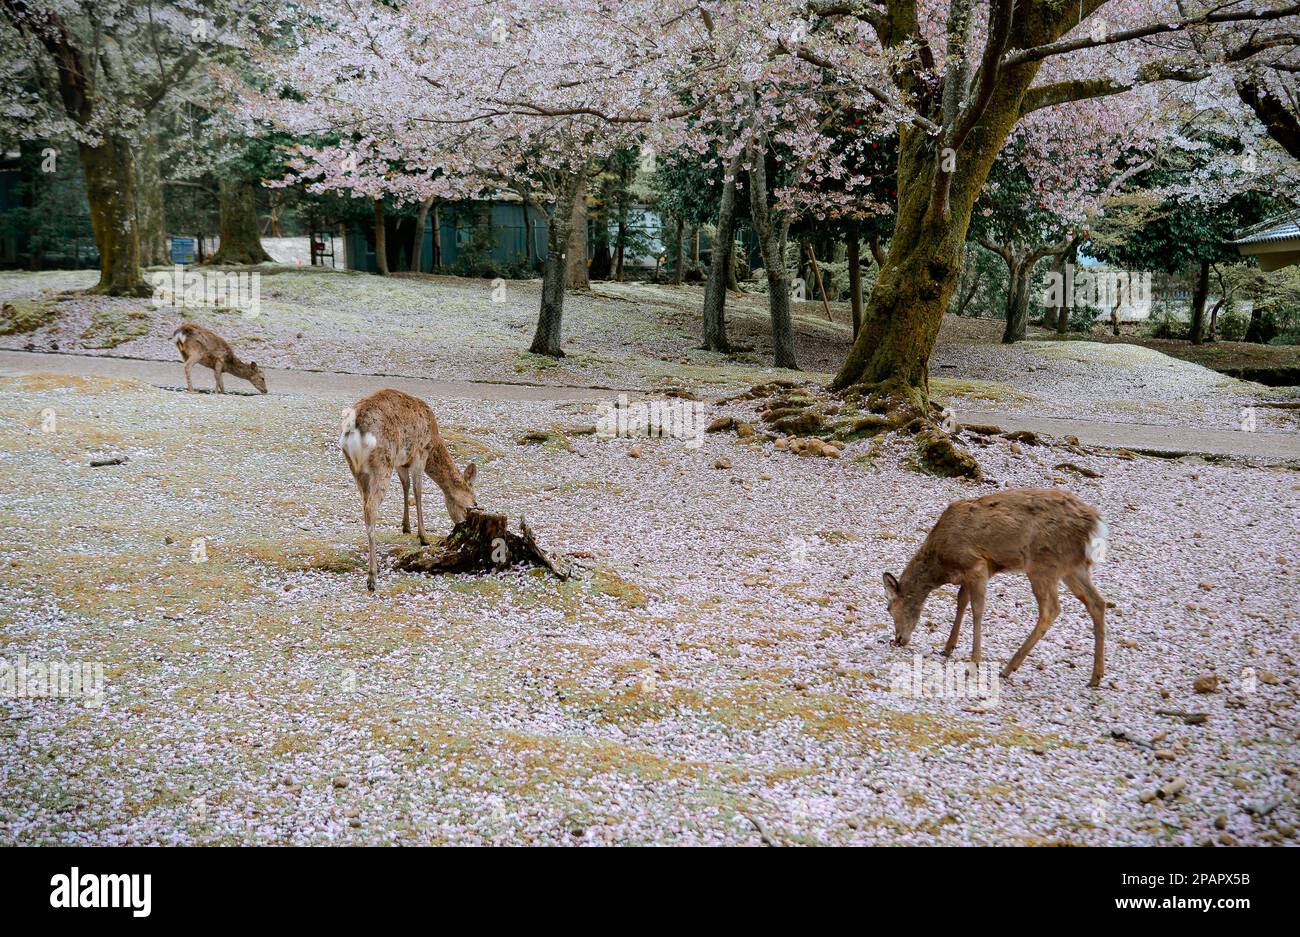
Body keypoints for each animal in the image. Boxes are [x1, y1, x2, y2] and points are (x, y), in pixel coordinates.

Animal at [339, 389, 478, 592]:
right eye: (473, 504)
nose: (462, 525)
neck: (434, 439)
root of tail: (353, 426)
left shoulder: (402, 462)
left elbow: (405, 486)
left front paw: (406, 527)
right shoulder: (420, 452)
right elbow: (418, 491)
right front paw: (423, 536)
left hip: (356, 468)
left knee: (364, 505)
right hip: (383, 462)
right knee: (371, 508)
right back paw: (372, 577)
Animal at [881, 487, 1109, 687]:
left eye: (890, 609)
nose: (898, 639)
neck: (942, 563)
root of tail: (1095, 525)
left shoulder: (976, 564)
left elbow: (977, 609)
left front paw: (974, 662)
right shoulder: (971, 572)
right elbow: (961, 601)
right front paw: (947, 648)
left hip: (1043, 563)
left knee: (1051, 609)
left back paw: (1008, 668)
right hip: (1074, 567)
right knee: (1097, 602)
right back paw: (1096, 676)